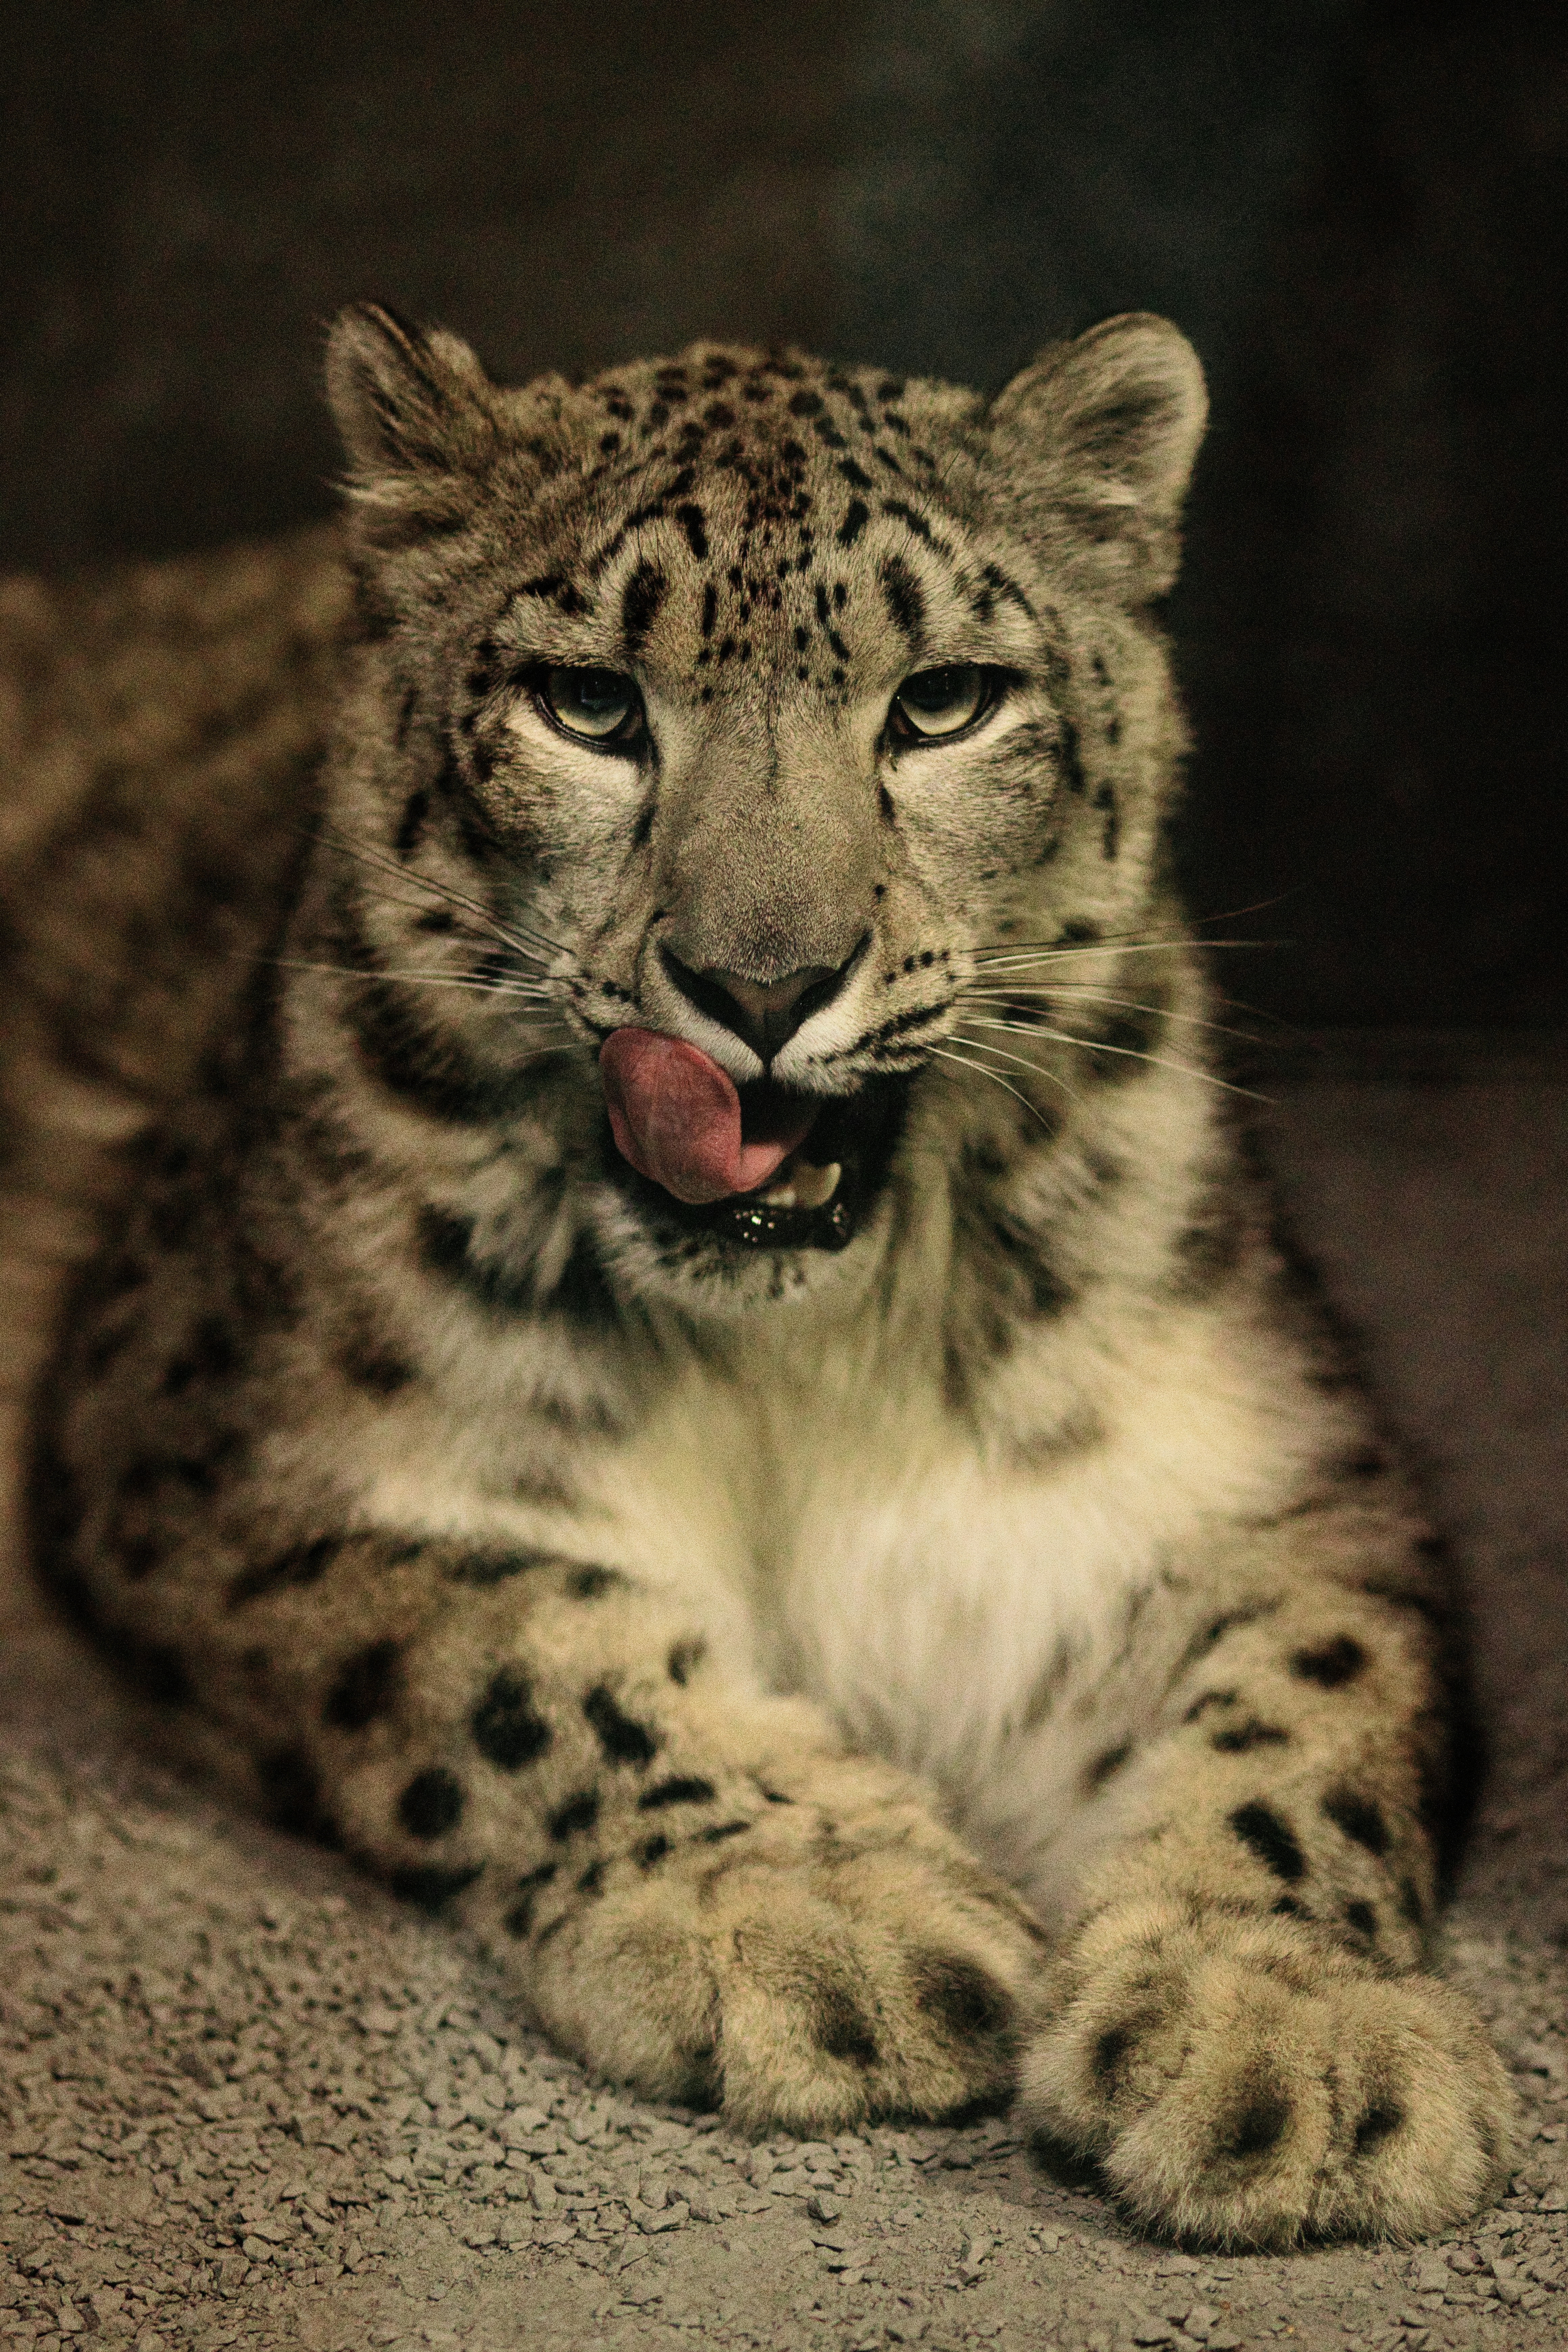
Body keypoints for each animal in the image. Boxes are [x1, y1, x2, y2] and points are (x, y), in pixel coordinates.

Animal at [21, 302, 1515, 2249]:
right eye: (588, 703)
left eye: (945, 699)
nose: (757, 983)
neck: (793, 1378)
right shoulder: (228, 1455)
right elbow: (512, 1644)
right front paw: (824, 1917)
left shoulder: (1243, 1471)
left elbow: (1309, 1704)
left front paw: (1289, 2038)